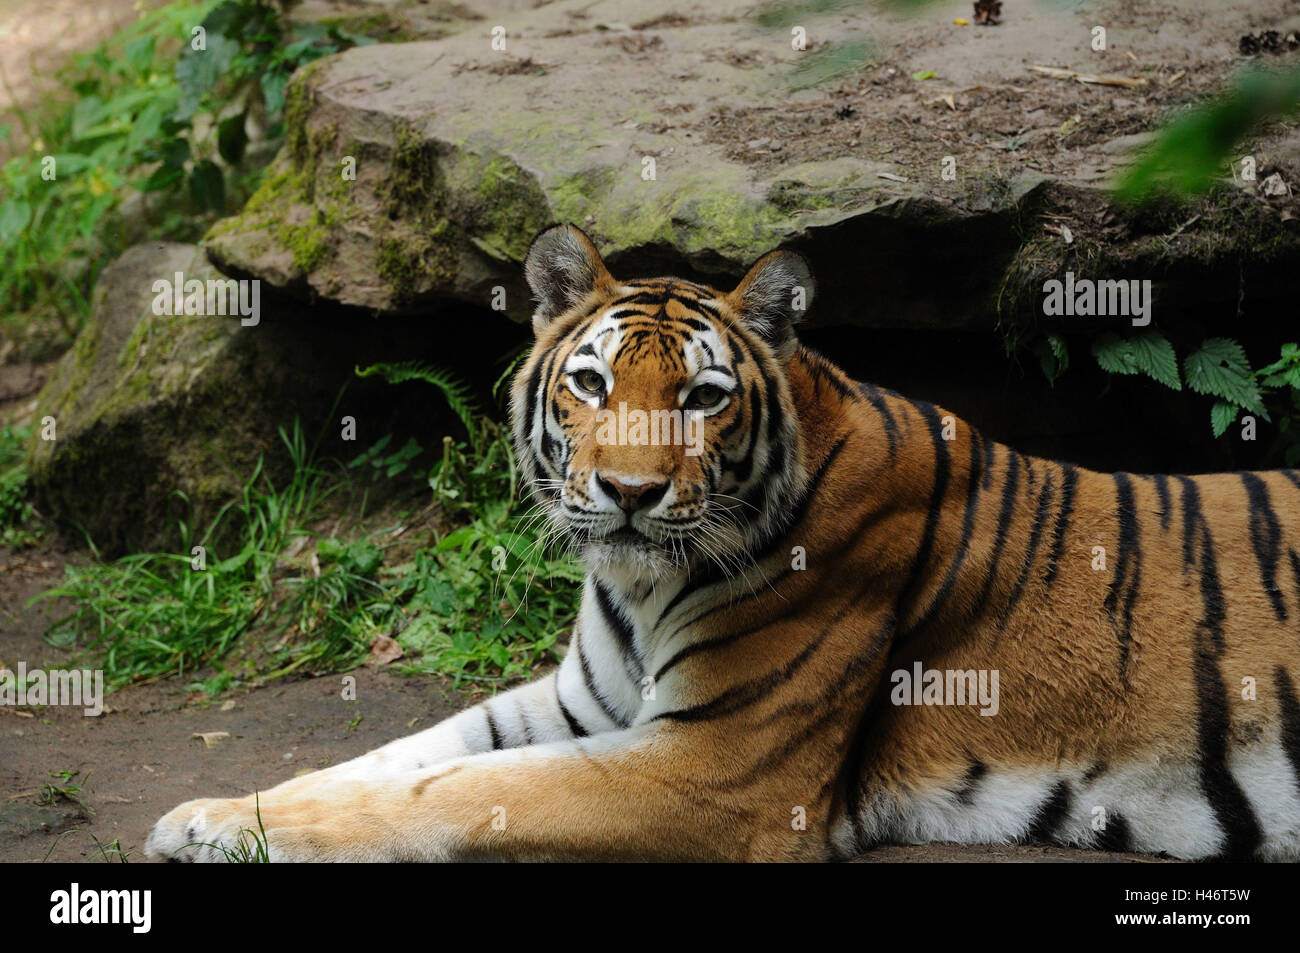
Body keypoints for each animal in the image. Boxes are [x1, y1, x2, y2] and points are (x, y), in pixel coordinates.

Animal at [147, 223, 1300, 862]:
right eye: (590, 382)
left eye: (703, 397)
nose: (628, 491)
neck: (636, 585)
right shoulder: (580, 702)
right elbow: (396, 758)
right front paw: (213, 818)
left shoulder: (712, 769)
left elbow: (462, 791)